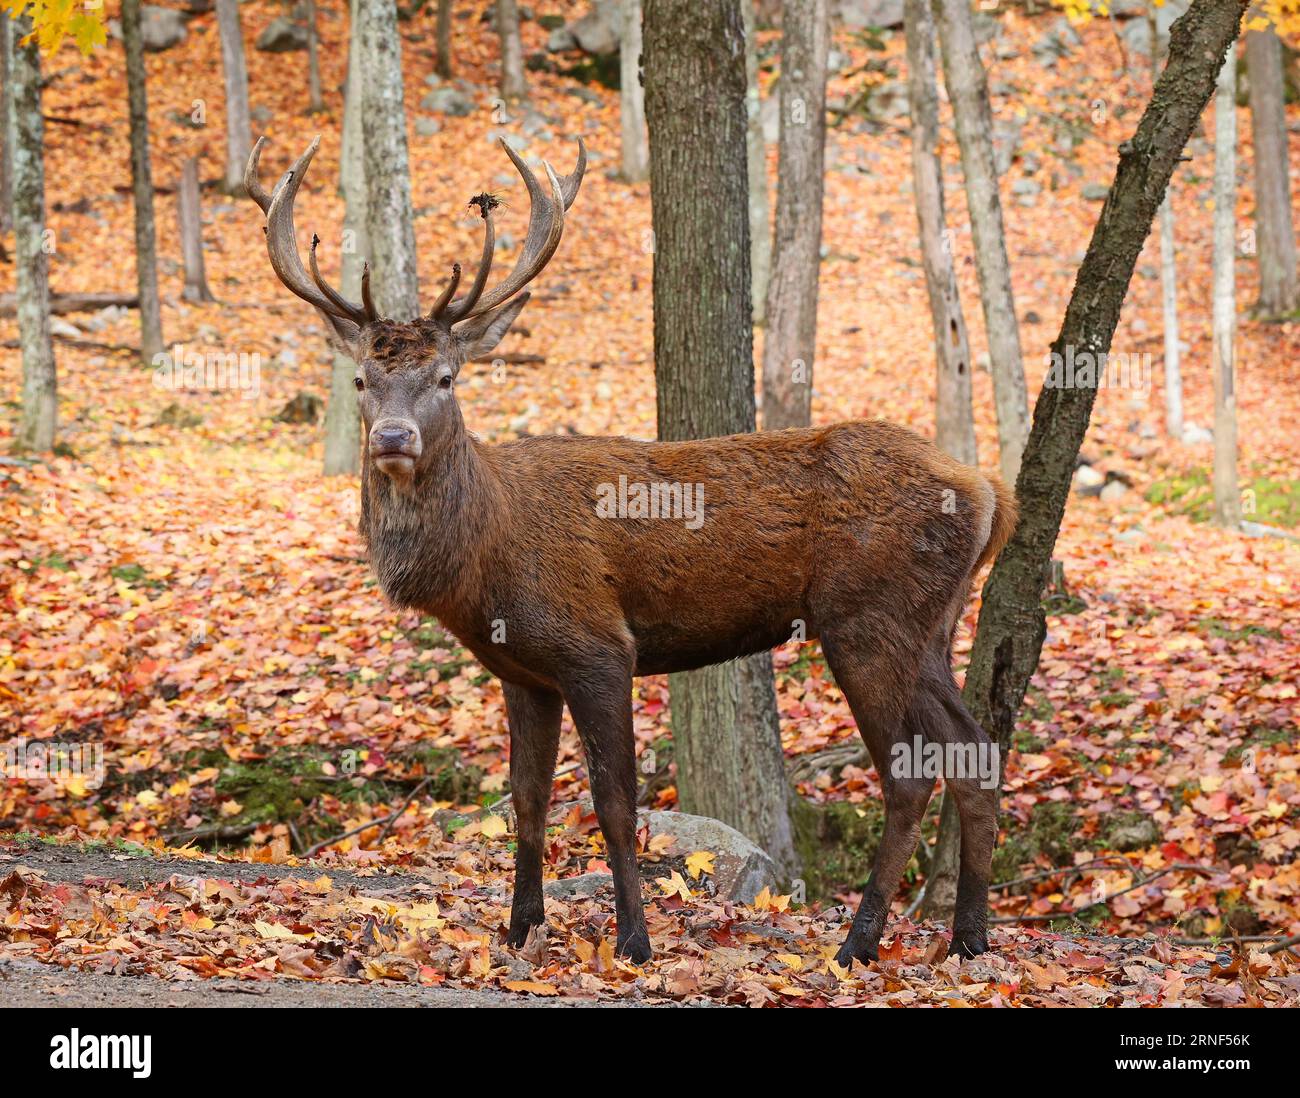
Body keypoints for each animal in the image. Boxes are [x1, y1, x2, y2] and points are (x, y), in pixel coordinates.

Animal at [245, 135, 1017, 967]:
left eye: (445, 377)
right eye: (362, 379)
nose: (393, 438)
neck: (485, 562)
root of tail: (987, 491)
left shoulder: (598, 646)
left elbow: (614, 802)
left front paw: (634, 940)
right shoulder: (524, 672)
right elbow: (526, 800)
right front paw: (519, 931)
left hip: (868, 619)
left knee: (911, 775)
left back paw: (858, 944)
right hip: (929, 626)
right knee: (976, 752)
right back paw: (968, 937)